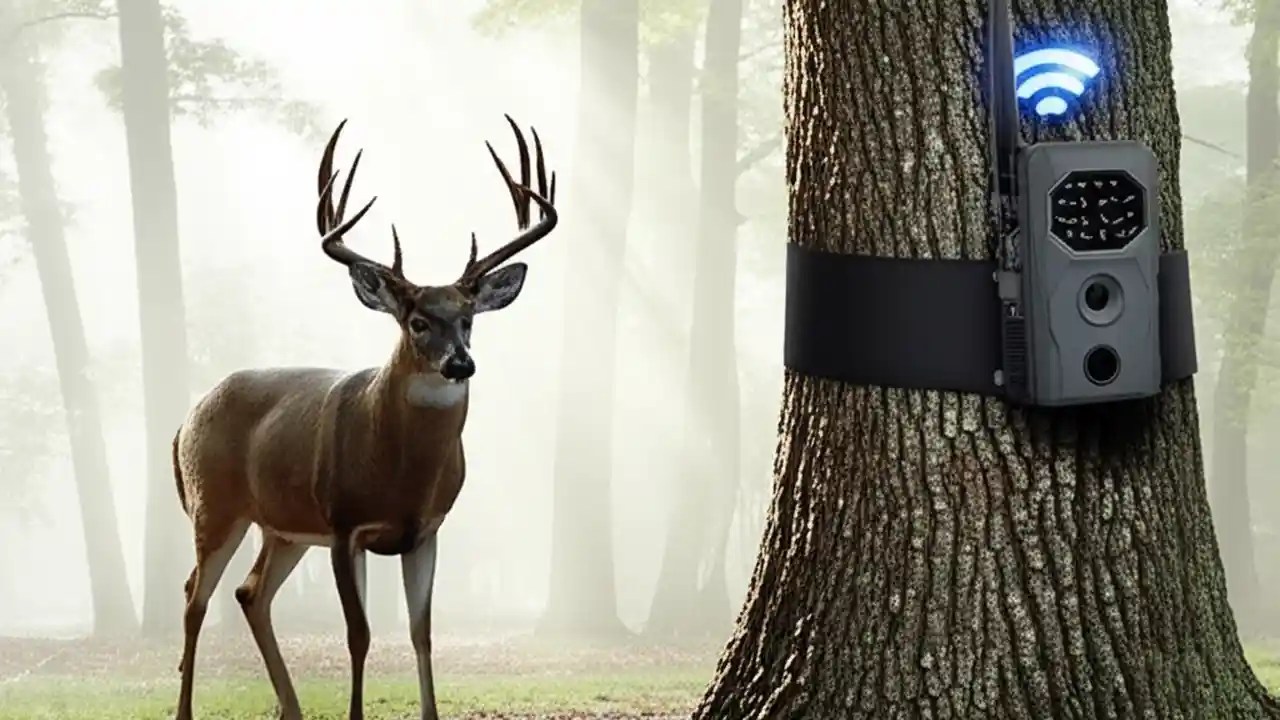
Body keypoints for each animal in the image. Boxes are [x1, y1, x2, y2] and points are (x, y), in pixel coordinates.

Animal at [171, 115, 557, 720]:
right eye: (417, 321)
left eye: (469, 318)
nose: (460, 363)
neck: (400, 474)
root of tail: (183, 422)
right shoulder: (344, 522)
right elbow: (360, 634)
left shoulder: (426, 529)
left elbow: (422, 633)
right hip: (214, 504)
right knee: (195, 595)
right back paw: (189, 707)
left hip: (284, 527)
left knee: (250, 592)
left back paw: (292, 708)